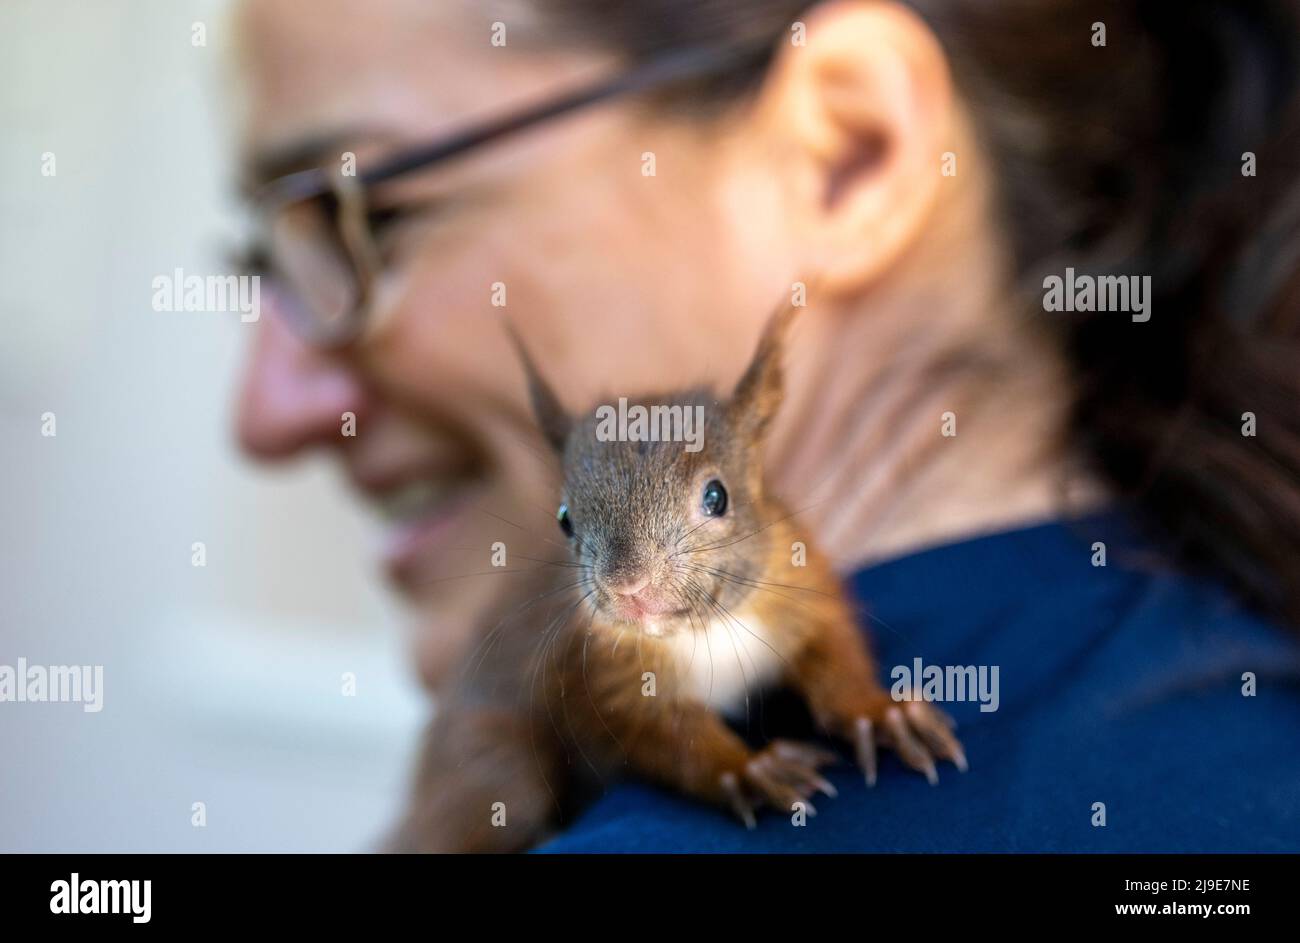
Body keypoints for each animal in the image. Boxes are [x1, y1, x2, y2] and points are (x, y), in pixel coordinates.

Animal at [386, 301, 965, 851]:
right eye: (564, 518)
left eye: (717, 496)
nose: (628, 587)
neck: (707, 628)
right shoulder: (605, 680)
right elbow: (668, 739)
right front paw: (748, 771)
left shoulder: (800, 585)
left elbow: (831, 650)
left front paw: (879, 715)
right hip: (493, 765)